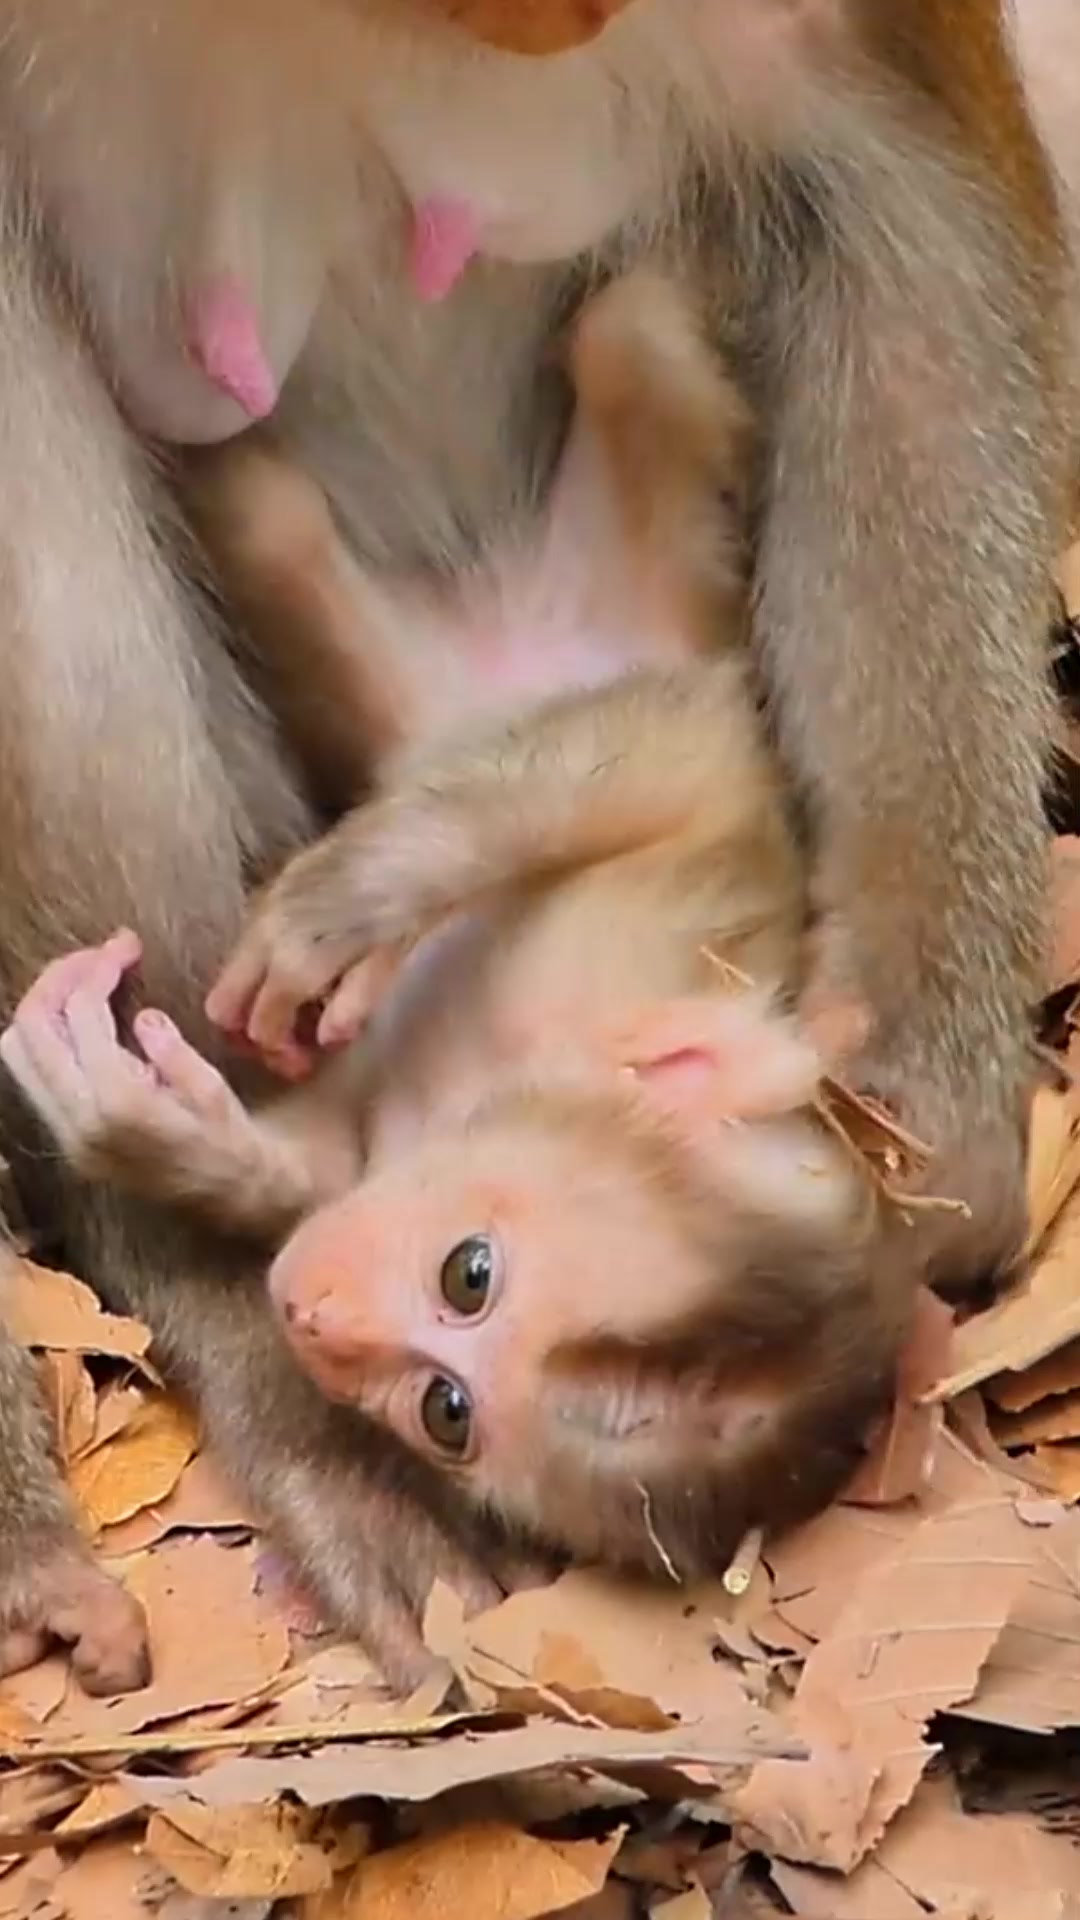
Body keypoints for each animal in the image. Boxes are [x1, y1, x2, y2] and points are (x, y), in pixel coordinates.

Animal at [3, 267, 907, 1584]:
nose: (317, 1320)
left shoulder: (386, 1158)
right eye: (469, 1273)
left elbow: (313, 1164)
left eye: (446, 1411)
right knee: (628, 334)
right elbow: (690, 754)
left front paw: (152, 1131)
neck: (501, 1079)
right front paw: (359, 899)